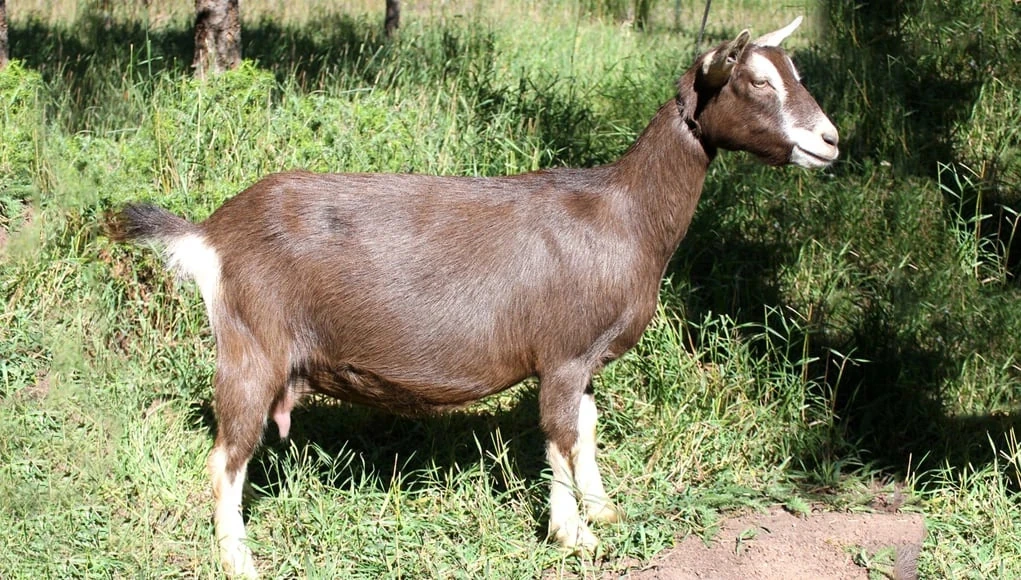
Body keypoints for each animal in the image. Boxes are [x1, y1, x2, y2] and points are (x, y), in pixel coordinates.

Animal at [110, 17, 837, 577]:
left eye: (792, 71)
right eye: (756, 80)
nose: (829, 140)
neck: (623, 215)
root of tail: (211, 233)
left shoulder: (584, 358)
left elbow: (583, 429)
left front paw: (601, 510)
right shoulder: (562, 355)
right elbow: (559, 435)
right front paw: (576, 535)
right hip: (250, 347)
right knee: (225, 456)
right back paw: (239, 560)